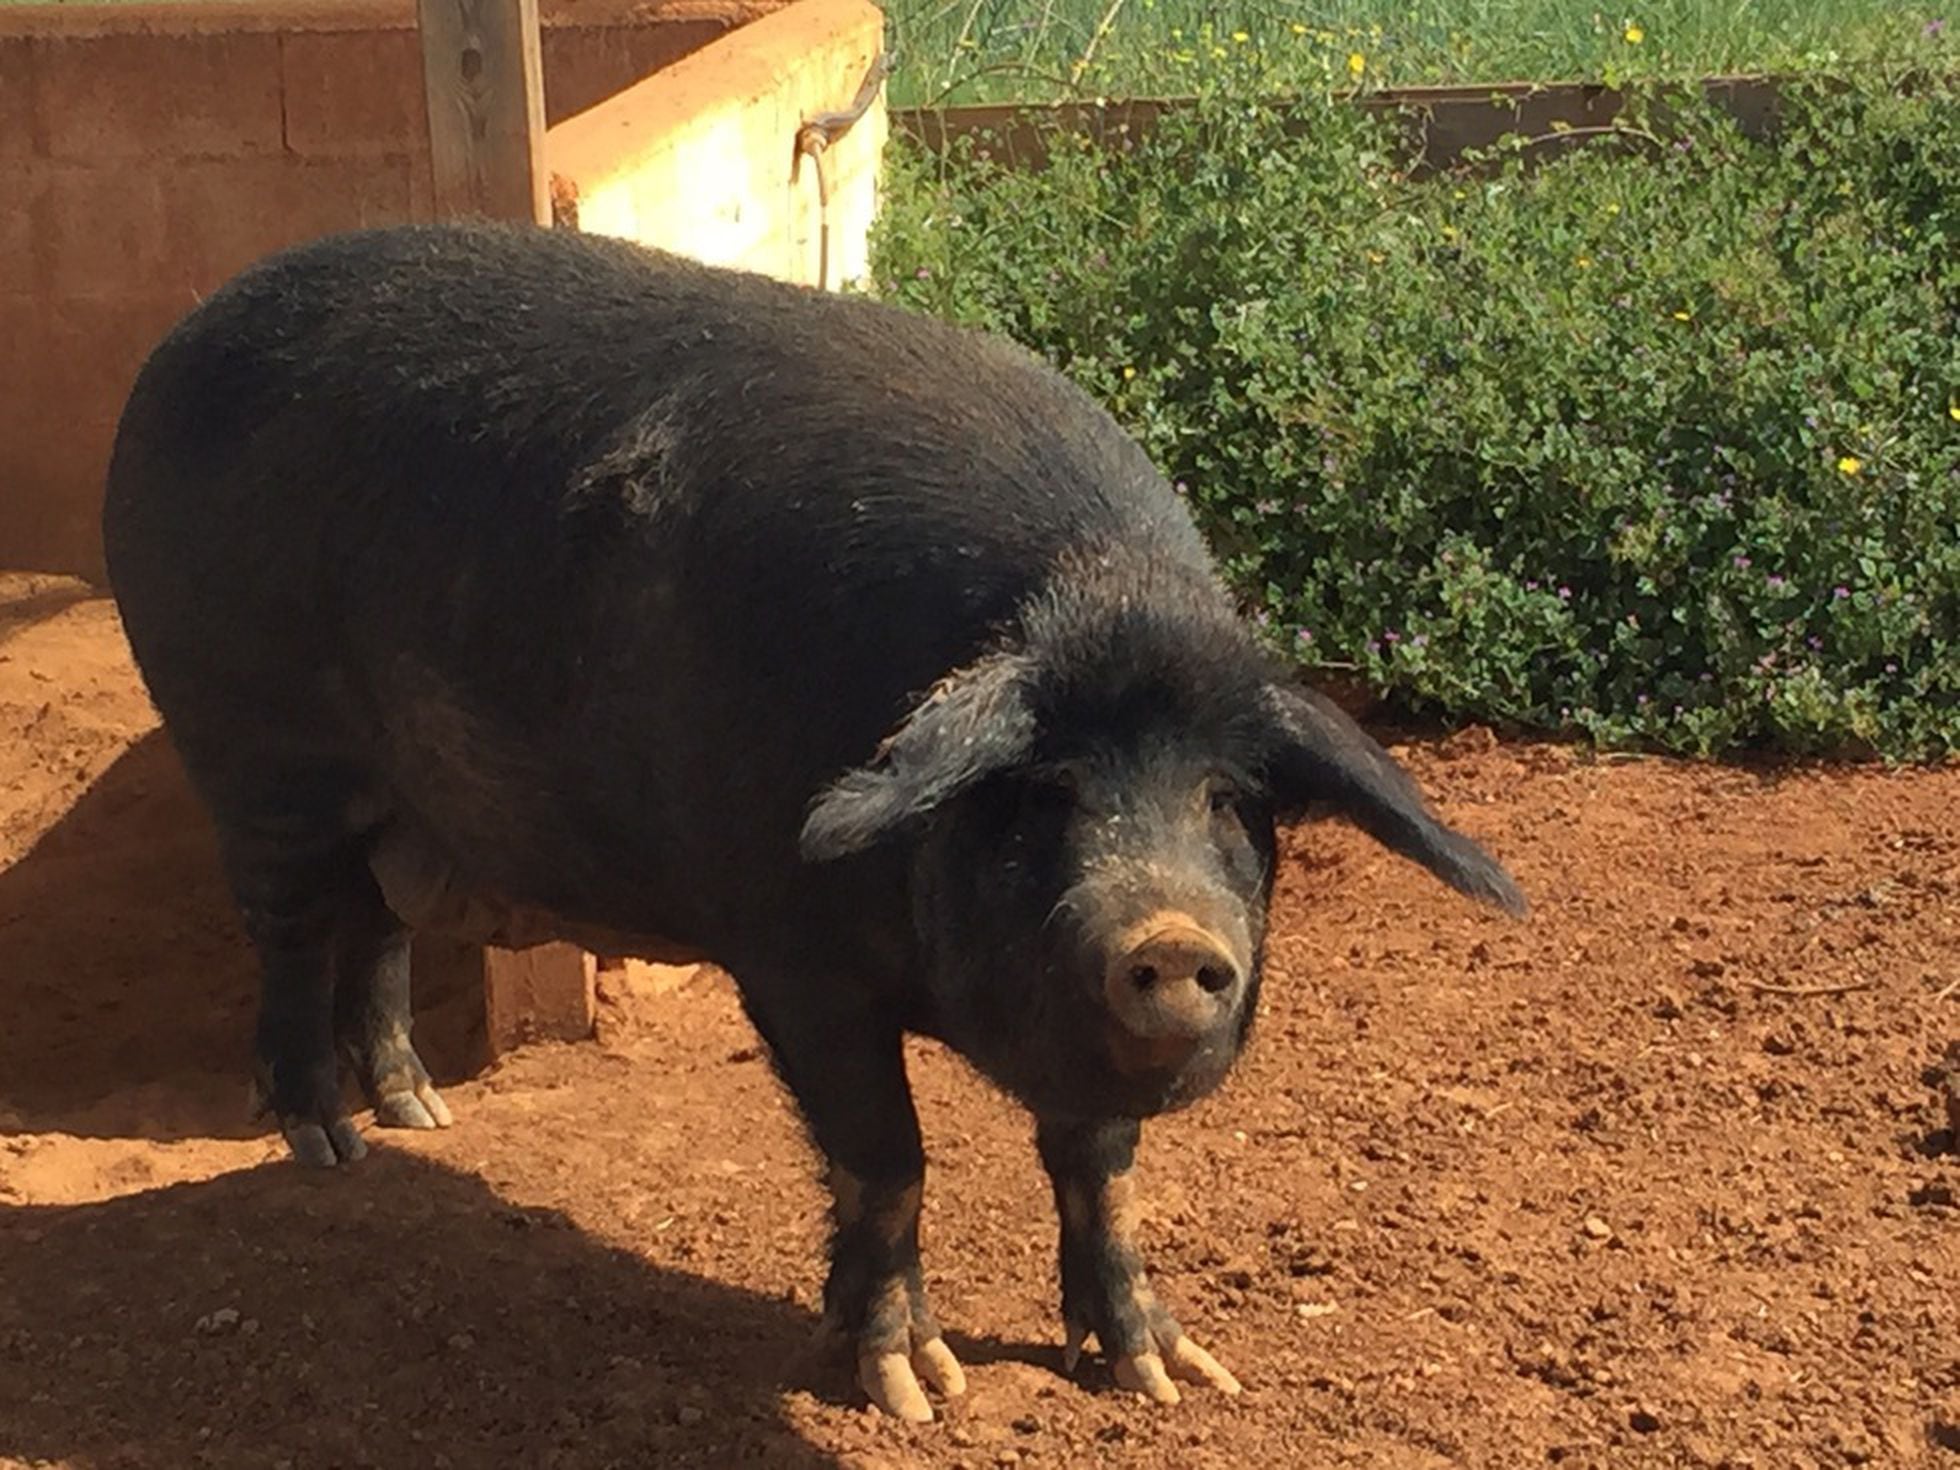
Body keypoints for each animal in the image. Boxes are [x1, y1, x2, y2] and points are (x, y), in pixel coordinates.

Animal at [102, 222, 1524, 1421]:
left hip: (395, 807)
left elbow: (1100, 1166)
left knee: (381, 929)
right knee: (294, 936)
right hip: (250, 748)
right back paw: (326, 1145)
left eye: (1230, 802)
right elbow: (885, 1158)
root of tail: (179, 340)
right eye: (1042, 795)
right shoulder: (791, 958)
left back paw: (418, 1116)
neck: (1092, 598)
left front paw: (1170, 1377)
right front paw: (915, 1394)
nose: (1169, 938)